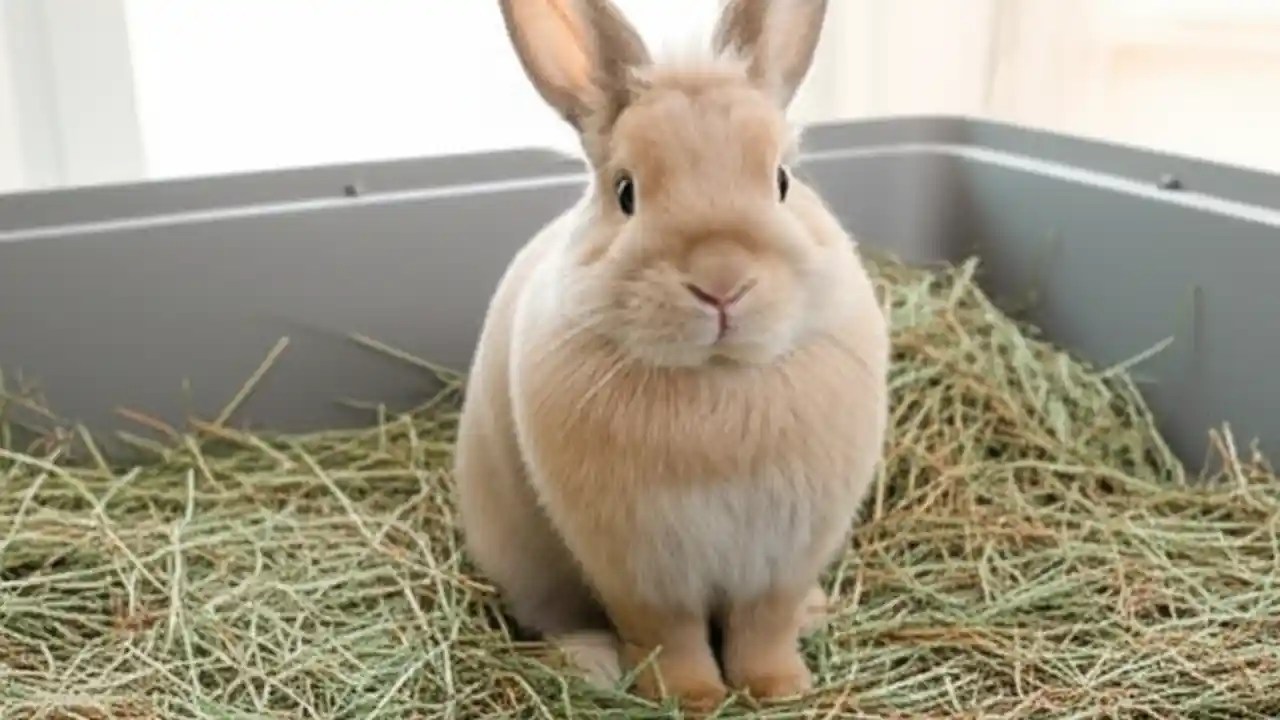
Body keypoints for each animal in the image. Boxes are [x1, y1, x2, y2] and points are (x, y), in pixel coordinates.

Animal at [454, 0, 889, 711]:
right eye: (625, 192)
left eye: (782, 180)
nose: (722, 281)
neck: (717, 377)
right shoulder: (642, 570)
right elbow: (670, 636)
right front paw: (694, 699)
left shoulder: (783, 559)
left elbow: (763, 627)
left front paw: (779, 689)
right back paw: (589, 663)